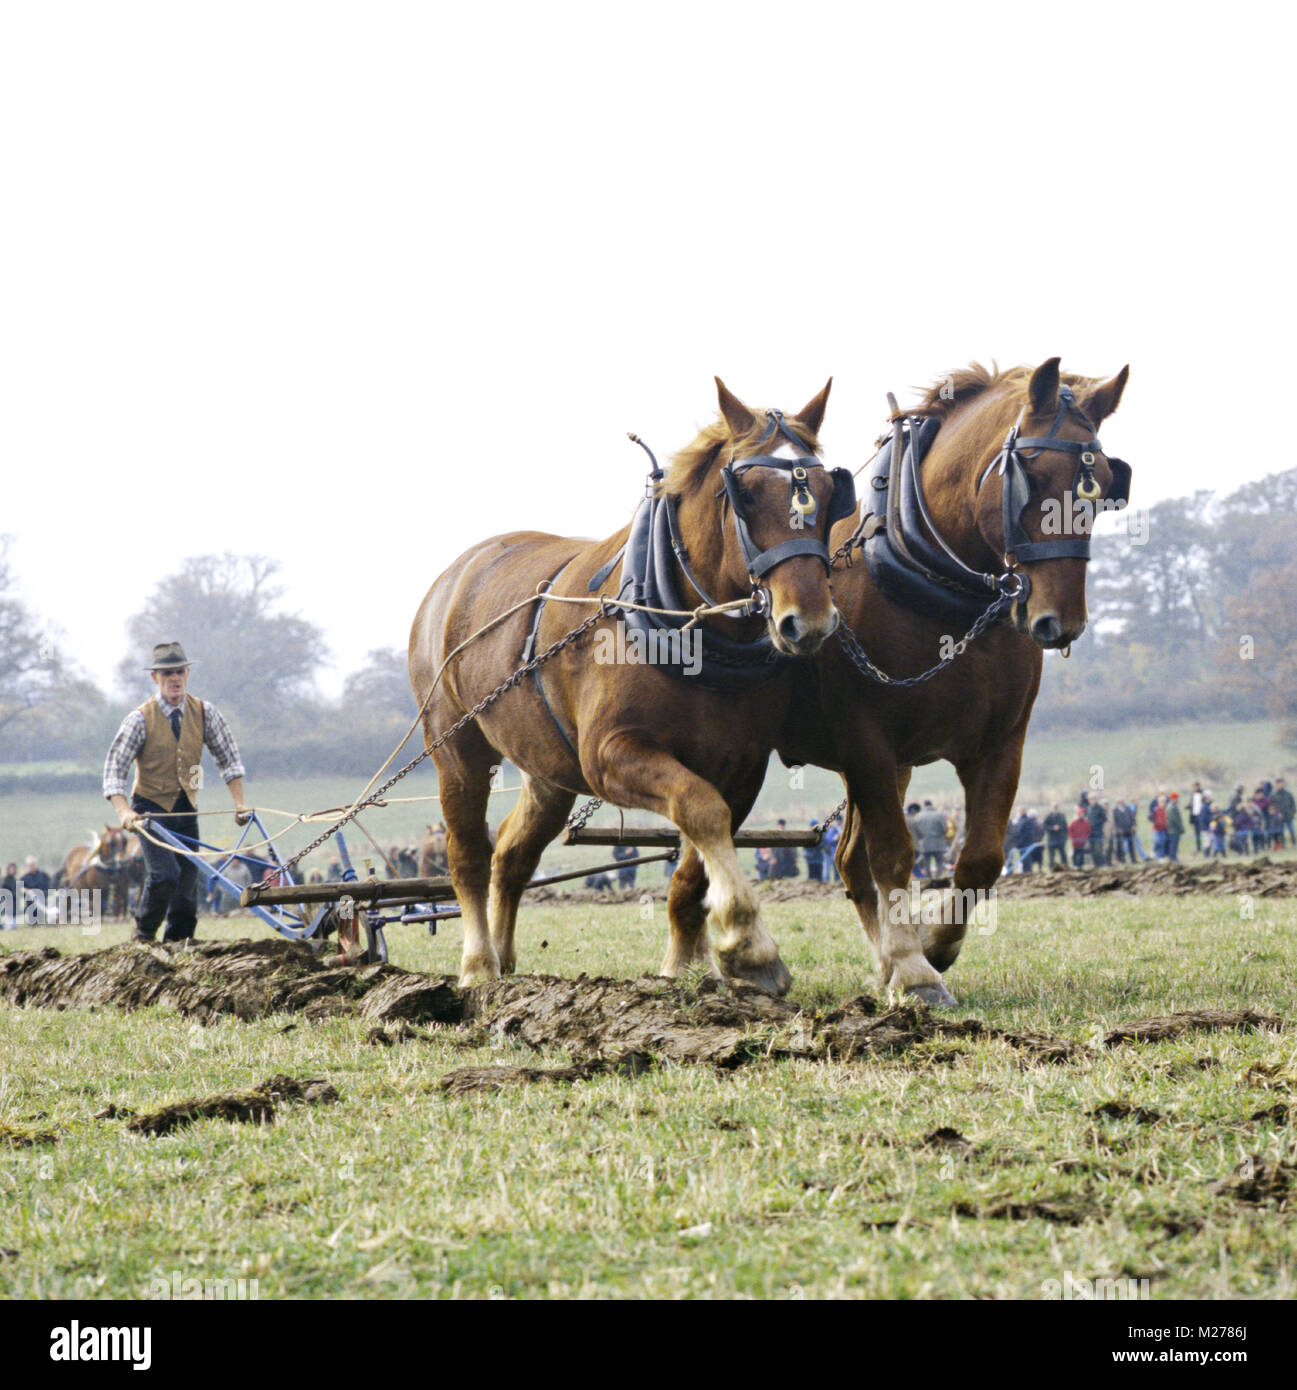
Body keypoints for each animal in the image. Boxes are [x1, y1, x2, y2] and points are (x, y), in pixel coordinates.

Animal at [409, 377, 852, 992]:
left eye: (831, 491)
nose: (807, 622)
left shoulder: (742, 765)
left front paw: (685, 964)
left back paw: (506, 959)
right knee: (469, 853)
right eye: (744, 493)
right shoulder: (611, 754)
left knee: (512, 854)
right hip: (456, 748)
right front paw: (750, 945)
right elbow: (700, 808)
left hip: (547, 770)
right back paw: (478, 966)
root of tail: (450, 579)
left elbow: (696, 858)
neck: (686, 627)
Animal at [658, 358, 1132, 1006]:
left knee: (846, 861)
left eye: (1105, 484)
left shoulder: (999, 744)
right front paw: (916, 969)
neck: (941, 589)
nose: (1059, 620)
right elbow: (893, 853)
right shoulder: (869, 744)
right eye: (1030, 474)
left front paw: (932, 945)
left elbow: (981, 857)